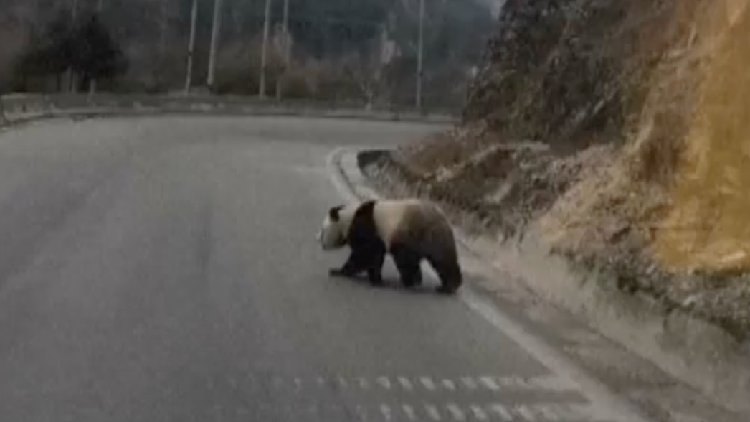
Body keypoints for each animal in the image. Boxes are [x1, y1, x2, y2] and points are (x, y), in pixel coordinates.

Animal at [317, 198, 463, 294]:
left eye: (323, 231)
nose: (319, 242)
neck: (348, 216)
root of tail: (443, 218)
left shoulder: (365, 225)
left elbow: (364, 253)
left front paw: (338, 271)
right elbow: (375, 257)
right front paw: (376, 278)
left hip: (415, 232)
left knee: (410, 259)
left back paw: (414, 281)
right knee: (443, 261)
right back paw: (445, 286)